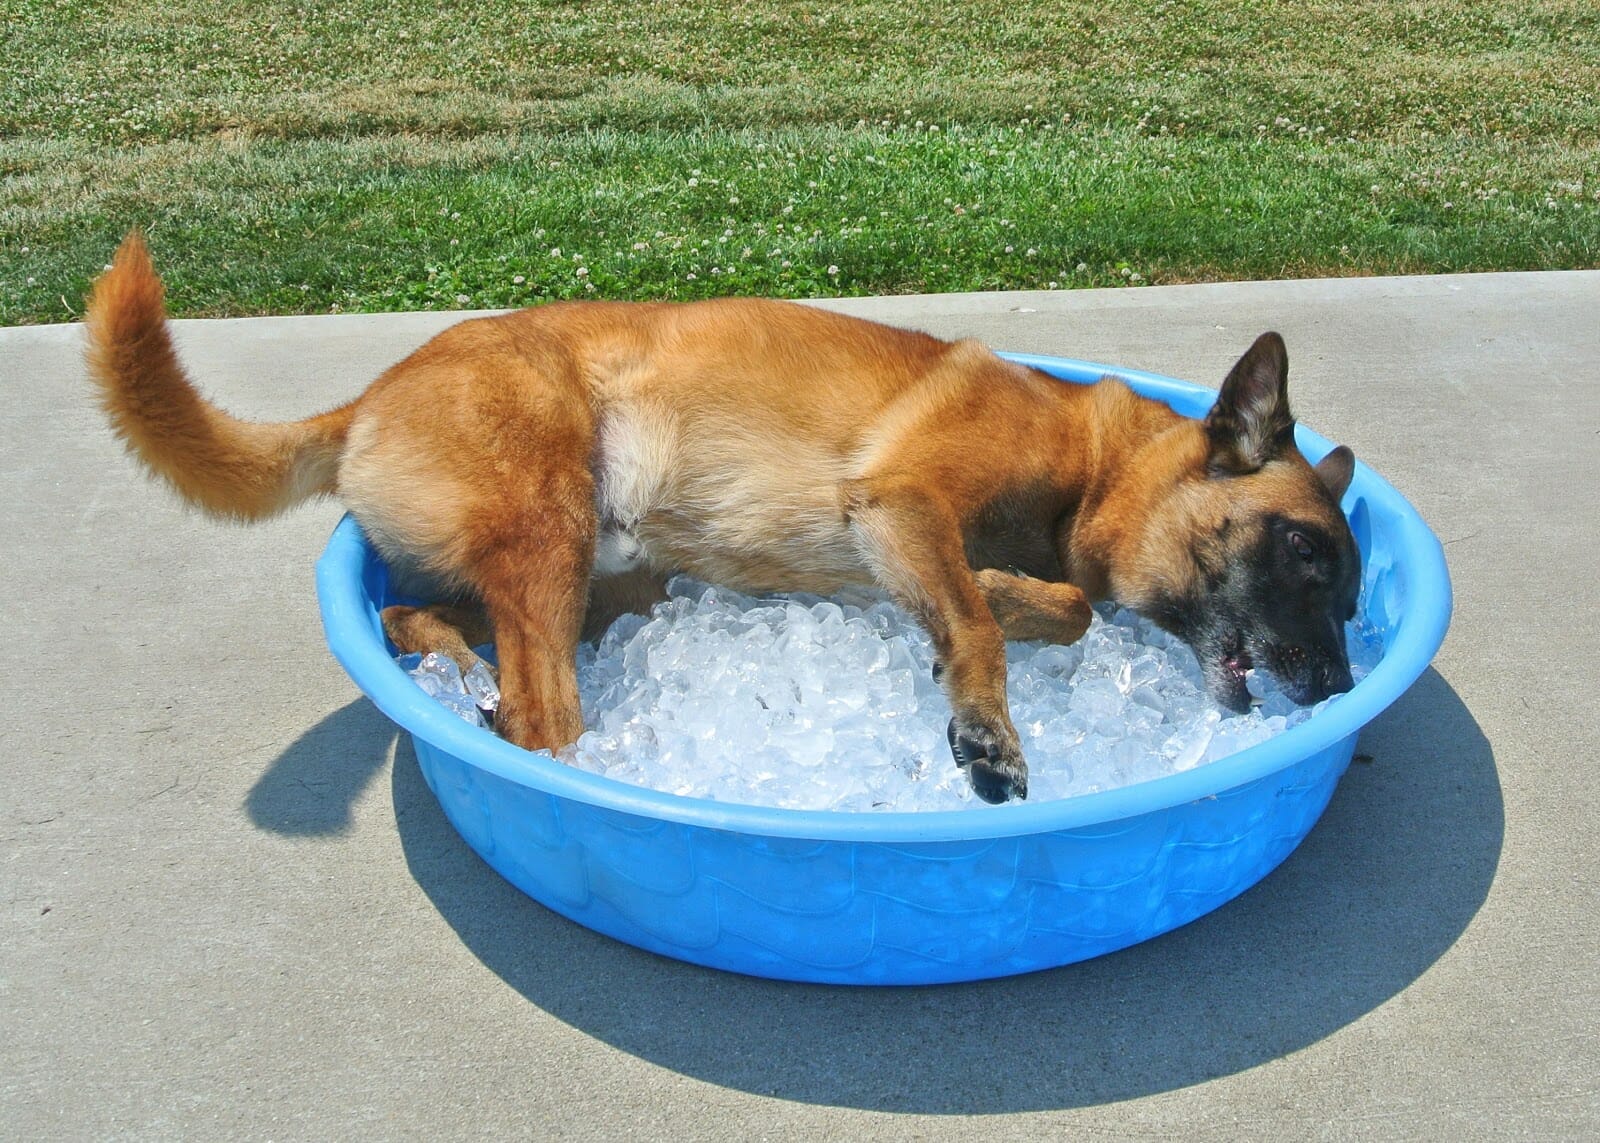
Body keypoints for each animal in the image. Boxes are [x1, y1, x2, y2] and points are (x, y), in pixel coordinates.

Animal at [84, 232, 1363, 800]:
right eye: (1301, 548)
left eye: (1353, 599)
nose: (1339, 690)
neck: (1091, 465)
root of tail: (369, 397)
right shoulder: (905, 500)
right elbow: (1004, 620)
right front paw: (987, 708)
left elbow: (1046, 607)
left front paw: (1001, 598)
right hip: (549, 528)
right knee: (542, 718)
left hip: (606, 583)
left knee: (423, 626)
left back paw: (457, 674)